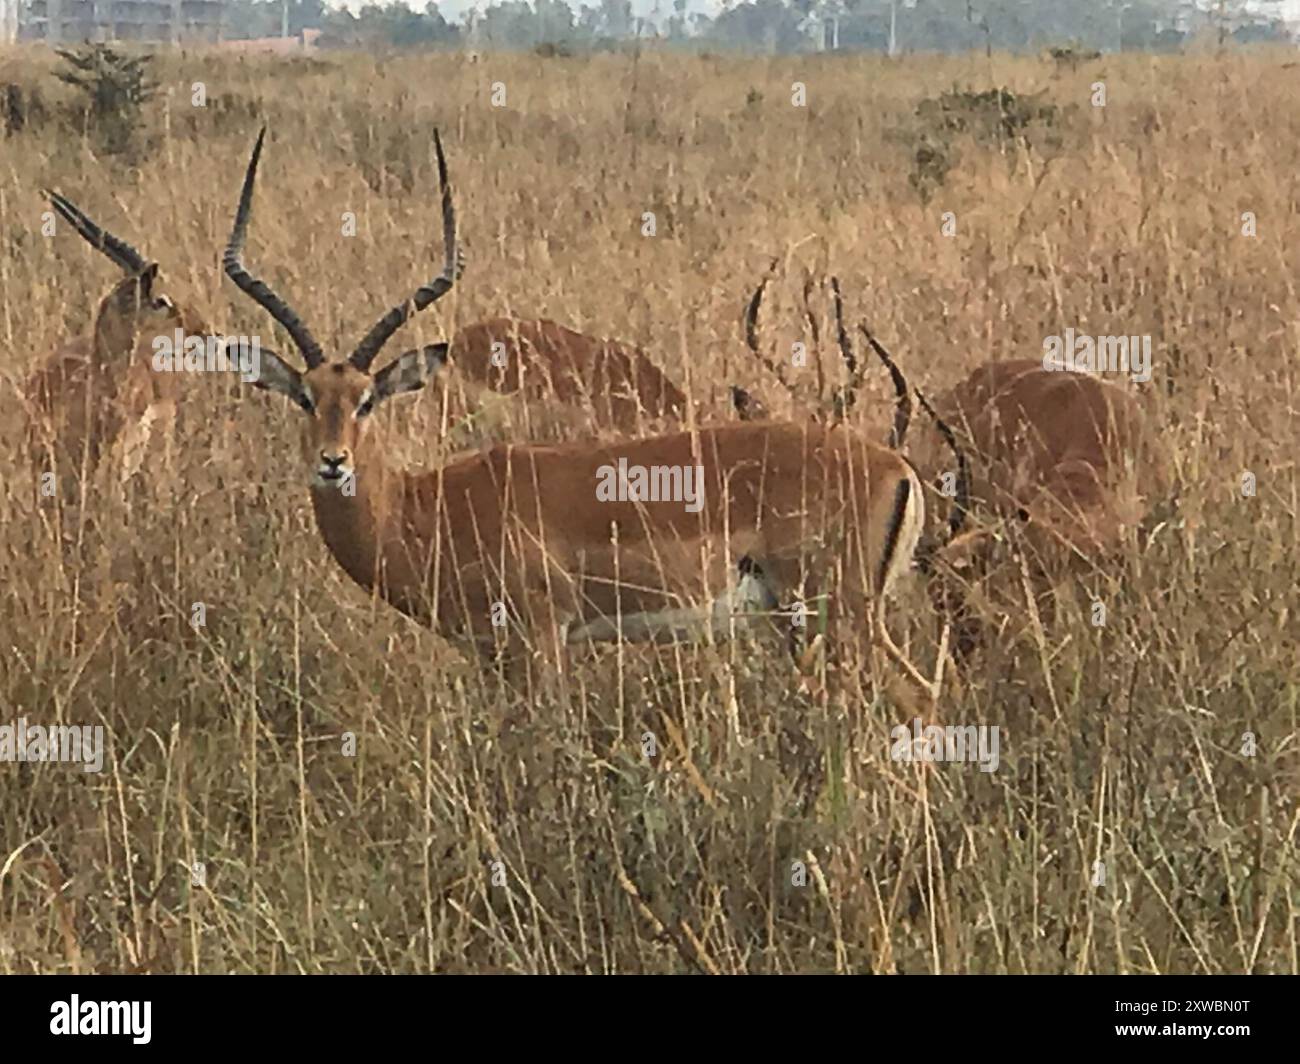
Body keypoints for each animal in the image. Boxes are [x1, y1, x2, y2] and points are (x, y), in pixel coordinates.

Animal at [223, 127, 947, 689]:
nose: (333, 462)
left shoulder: (542, 643)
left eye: (367, 399)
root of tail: (896, 468)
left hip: (834, 617)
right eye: (307, 397)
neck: (427, 507)